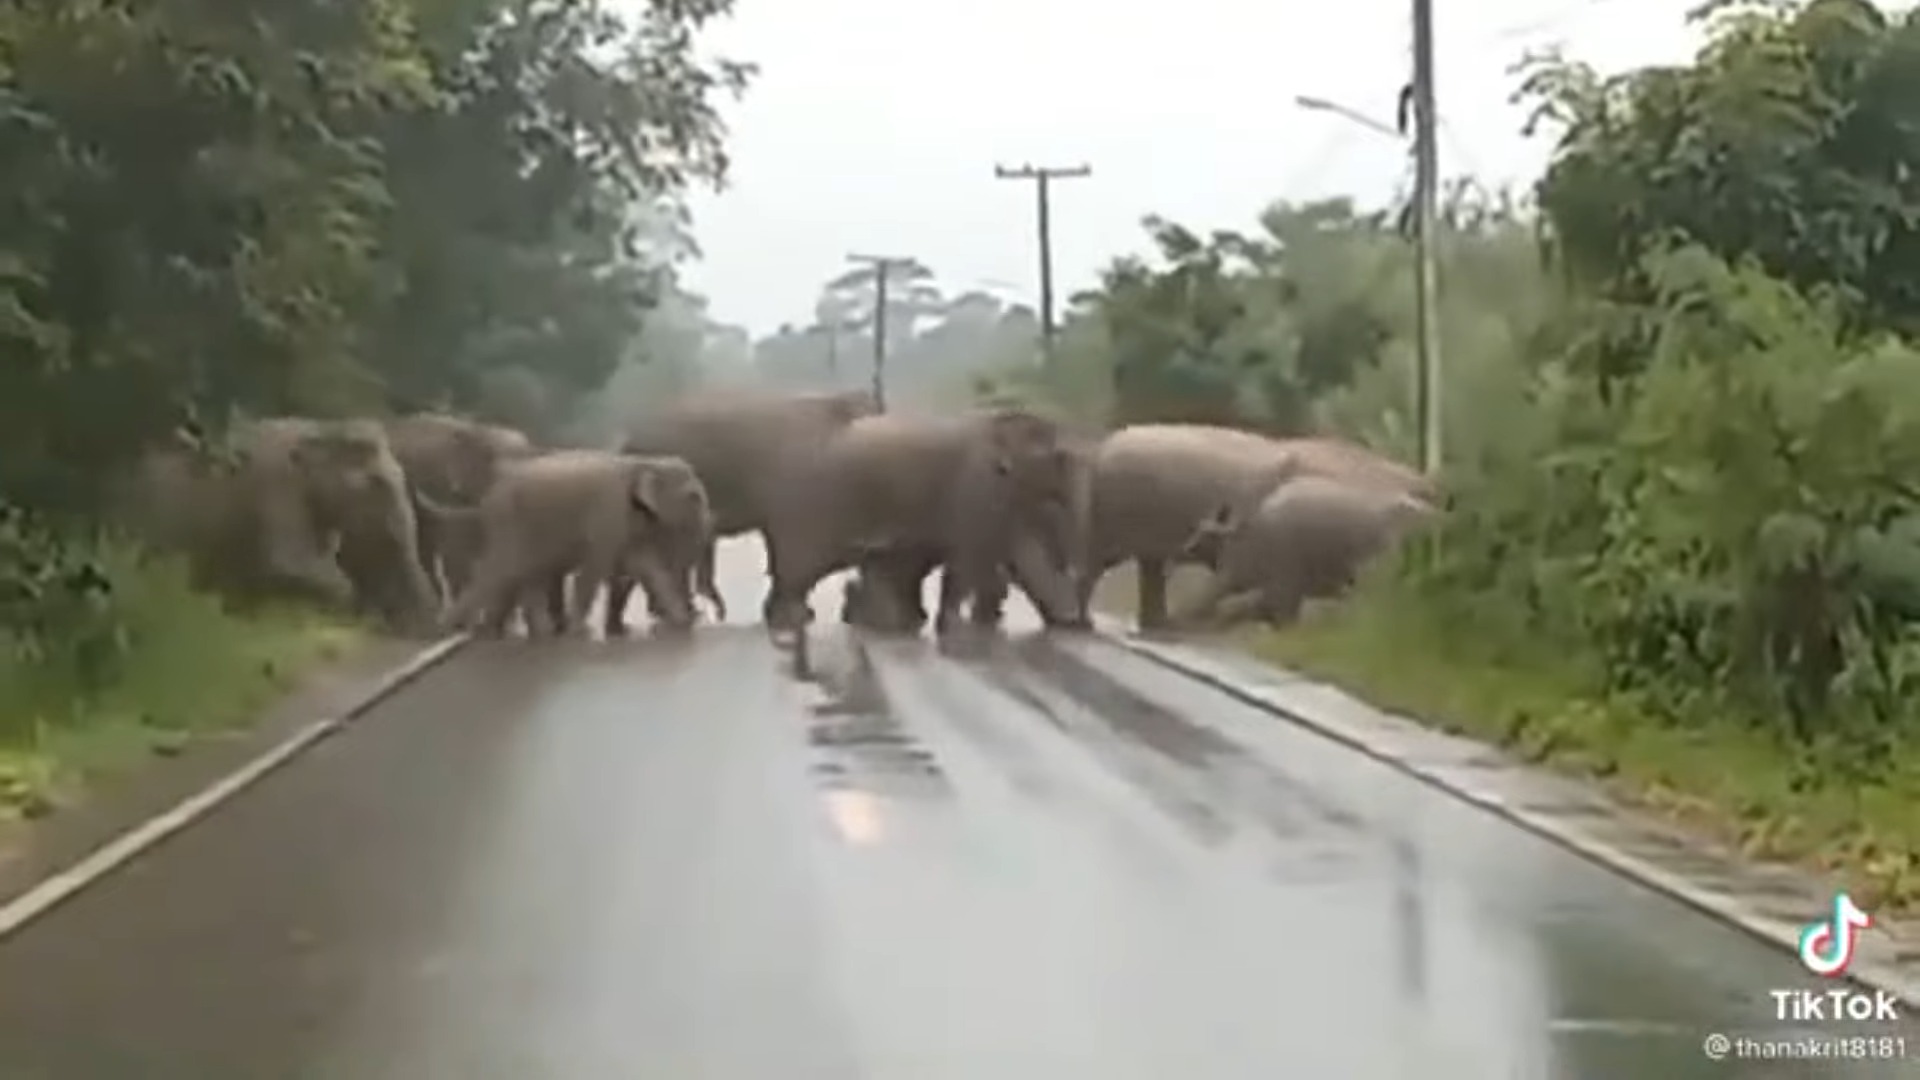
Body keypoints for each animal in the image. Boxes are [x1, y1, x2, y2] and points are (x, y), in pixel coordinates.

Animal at [121, 417, 443, 634]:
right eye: (376, 483)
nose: (422, 628)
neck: (320, 428)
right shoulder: (276, 489)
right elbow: (291, 561)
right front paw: (366, 617)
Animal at [442, 450, 714, 638]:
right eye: (694, 497)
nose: (699, 614)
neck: (644, 462)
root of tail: (488, 494)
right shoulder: (608, 513)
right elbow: (595, 568)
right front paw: (578, 632)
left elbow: (645, 565)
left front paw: (683, 624)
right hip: (510, 523)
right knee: (499, 571)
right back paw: (454, 628)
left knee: (523, 574)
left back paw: (530, 633)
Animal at [760, 405, 1077, 637]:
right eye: (1060, 458)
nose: (1076, 621)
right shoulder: (976, 488)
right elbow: (971, 556)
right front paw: (953, 628)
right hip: (811, 509)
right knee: (797, 572)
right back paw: (792, 623)